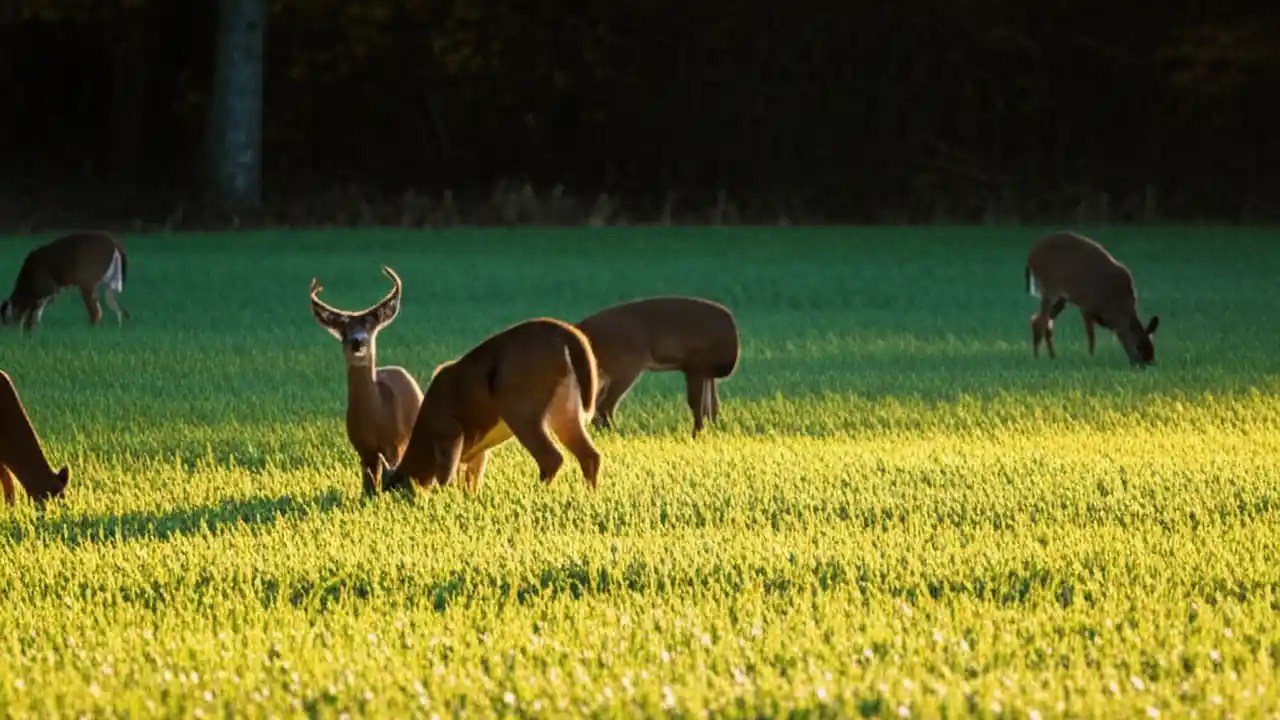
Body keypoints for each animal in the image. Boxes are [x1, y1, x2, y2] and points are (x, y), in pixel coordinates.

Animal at [0, 230, 130, 331]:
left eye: (4, 319)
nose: (6, 330)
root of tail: (116, 244)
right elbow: (38, 308)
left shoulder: (48, 286)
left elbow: (35, 307)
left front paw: (29, 327)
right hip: (110, 282)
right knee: (117, 309)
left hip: (87, 279)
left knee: (97, 311)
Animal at [309, 266, 424, 495]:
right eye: (344, 333)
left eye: (370, 329)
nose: (357, 341)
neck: (376, 417)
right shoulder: (362, 448)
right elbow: (368, 485)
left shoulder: (393, 443)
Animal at [379, 317, 602, 494]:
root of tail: (567, 335)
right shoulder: (477, 449)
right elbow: (472, 478)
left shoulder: (450, 431)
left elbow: (446, 476)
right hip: (565, 406)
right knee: (590, 455)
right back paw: (590, 495)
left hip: (521, 407)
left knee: (552, 458)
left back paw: (537, 494)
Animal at [576, 296, 740, 438]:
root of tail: (581, 328)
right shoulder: (695, 367)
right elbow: (697, 405)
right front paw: (696, 435)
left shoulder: (706, 372)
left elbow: (711, 407)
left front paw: (712, 432)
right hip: (624, 366)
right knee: (603, 406)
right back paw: (618, 433)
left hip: (604, 371)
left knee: (594, 407)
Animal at [1025, 231, 1160, 366]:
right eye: (1138, 346)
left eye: (1152, 347)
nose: (1149, 363)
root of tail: (1031, 255)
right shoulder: (1086, 306)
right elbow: (1091, 337)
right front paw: (1091, 357)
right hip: (1050, 288)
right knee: (1040, 321)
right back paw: (1037, 358)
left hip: (1061, 298)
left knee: (1042, 321)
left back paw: (1052, 357)